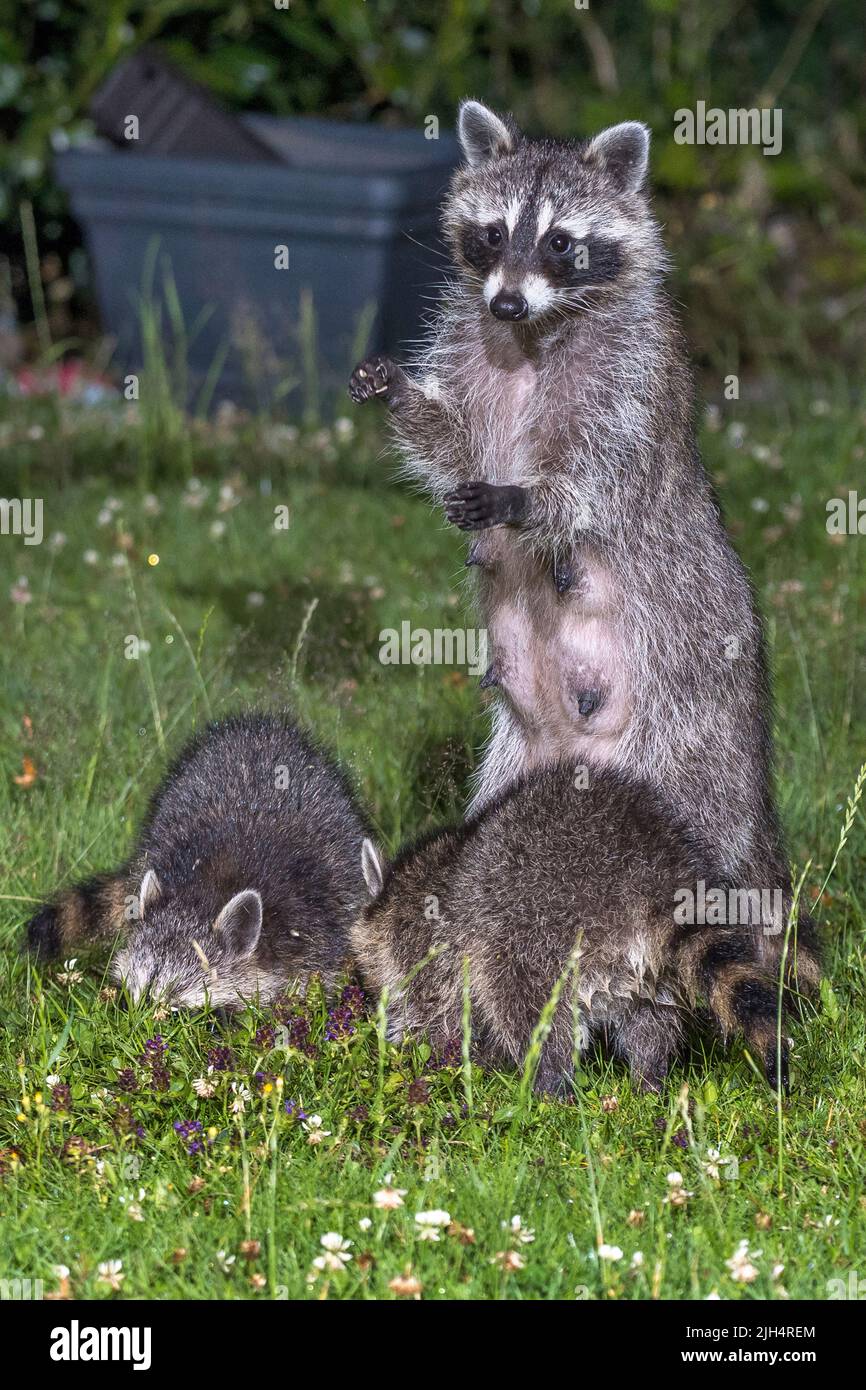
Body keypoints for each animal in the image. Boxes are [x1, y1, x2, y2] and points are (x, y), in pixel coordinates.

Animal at [25, 713, 369, 1008]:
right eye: (130, 996)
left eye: (177, 1004)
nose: (135, 1032)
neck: (206, 890)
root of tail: (260, 725)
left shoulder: (315, 925)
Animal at [350, 100, 819, 993]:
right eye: (494, 234)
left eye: (562, 242)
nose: (505, 303)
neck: (535, 334)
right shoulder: (471, 349)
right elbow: (451, 442)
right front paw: (400, 395)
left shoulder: (631, 383)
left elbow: (591, 482)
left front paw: (528, 499)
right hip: (518, 766)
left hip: (684, 742)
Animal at [353, 762, 792, 1094]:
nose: (376, 1012)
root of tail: (654, 874)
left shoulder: (430, 953)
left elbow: (441, 1017)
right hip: (645, 967)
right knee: (652, 1019)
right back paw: (649, 1077)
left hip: (534, 928)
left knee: (525, 1010)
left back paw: (546, 1088)